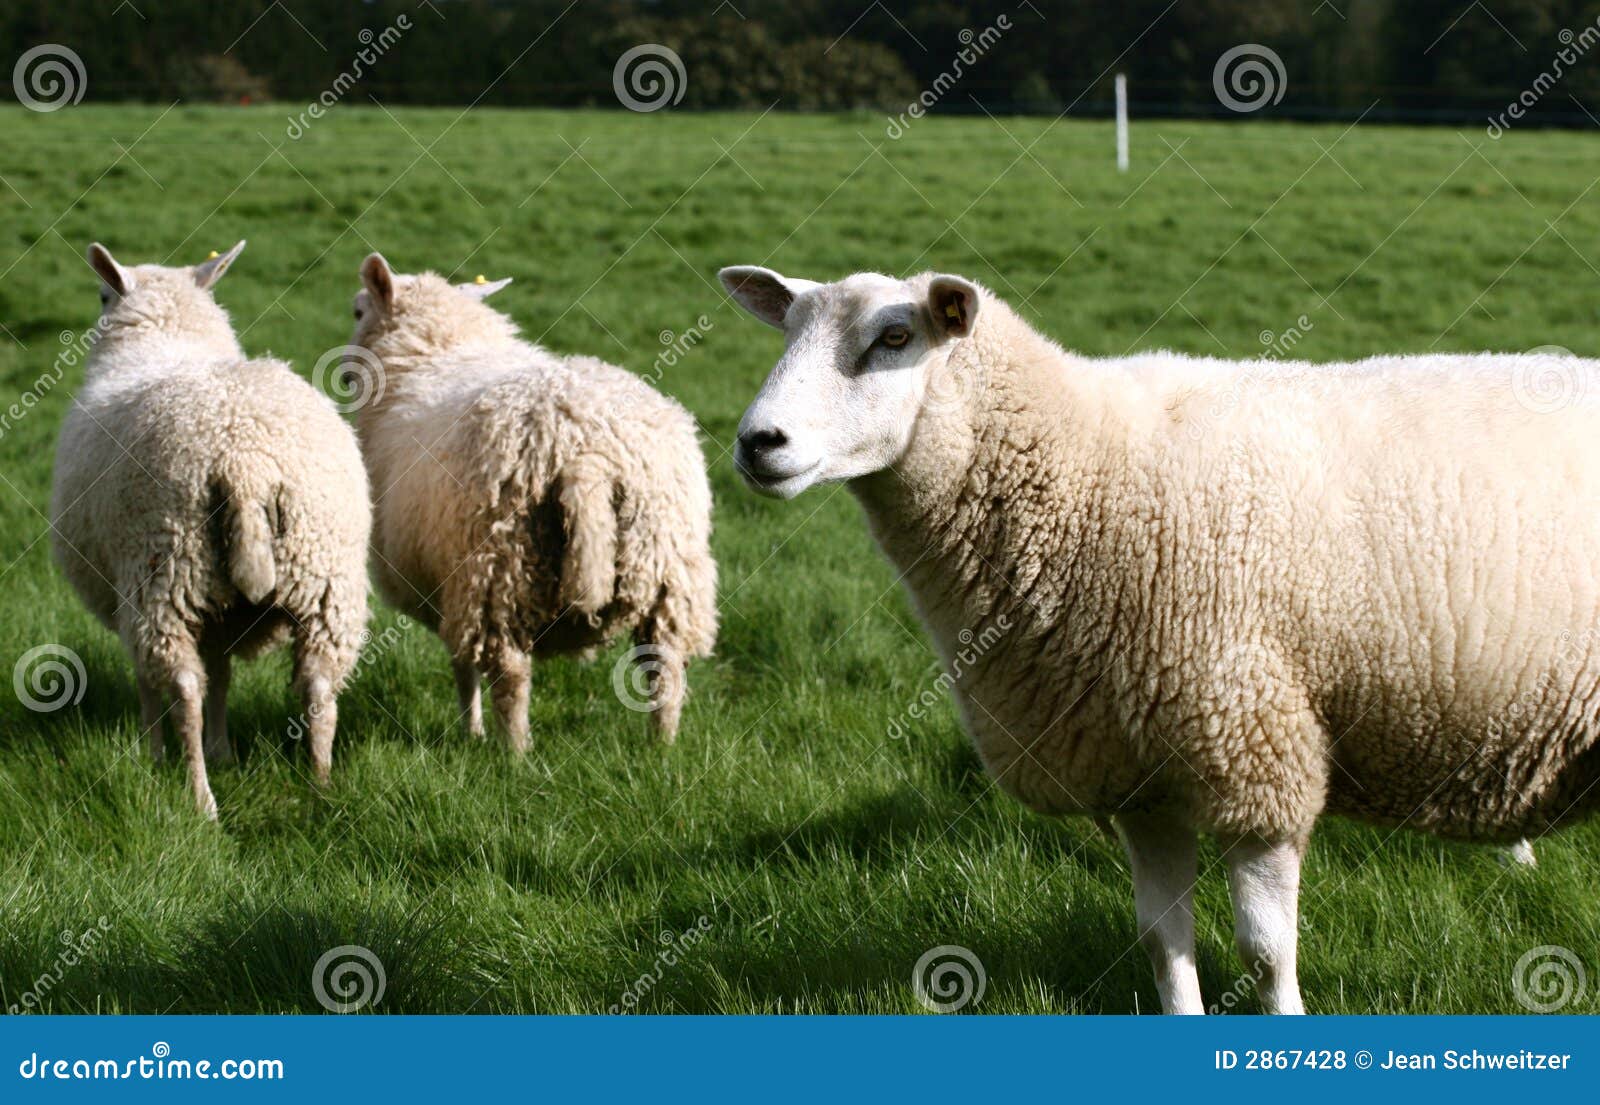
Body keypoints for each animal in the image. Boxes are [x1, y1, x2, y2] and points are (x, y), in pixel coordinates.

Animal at [50, 242, 371, 819]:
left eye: (104, 294)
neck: (167, 338)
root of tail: (244, 460)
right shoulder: (223, 612)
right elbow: (222, 674)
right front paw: (223, 750)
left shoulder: (131, 598)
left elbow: (152, 681)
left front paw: (154, 753)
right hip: (325, 583)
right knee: (318, 689)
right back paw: (321, 786)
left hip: (163, 574)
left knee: (183, 689)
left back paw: (201, 799)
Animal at [345, 254, 716, 749]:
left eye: (357, 310)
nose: (344, 374)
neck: (436, 351)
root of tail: (585, 449)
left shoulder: (449, 584)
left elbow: (462, 667)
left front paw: (472, 731)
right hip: (668, 569)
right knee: (666, 669)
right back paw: (662, 746)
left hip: (498, 568)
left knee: (510, 674)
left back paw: (514, 752)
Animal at [720, 264, 1600, 1014]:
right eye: (786, 329)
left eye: (895, 336)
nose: (757, 442)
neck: (1087, 473)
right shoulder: (1136, 776)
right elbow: (1161, 941)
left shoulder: (1257, 753)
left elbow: (1263, 952)